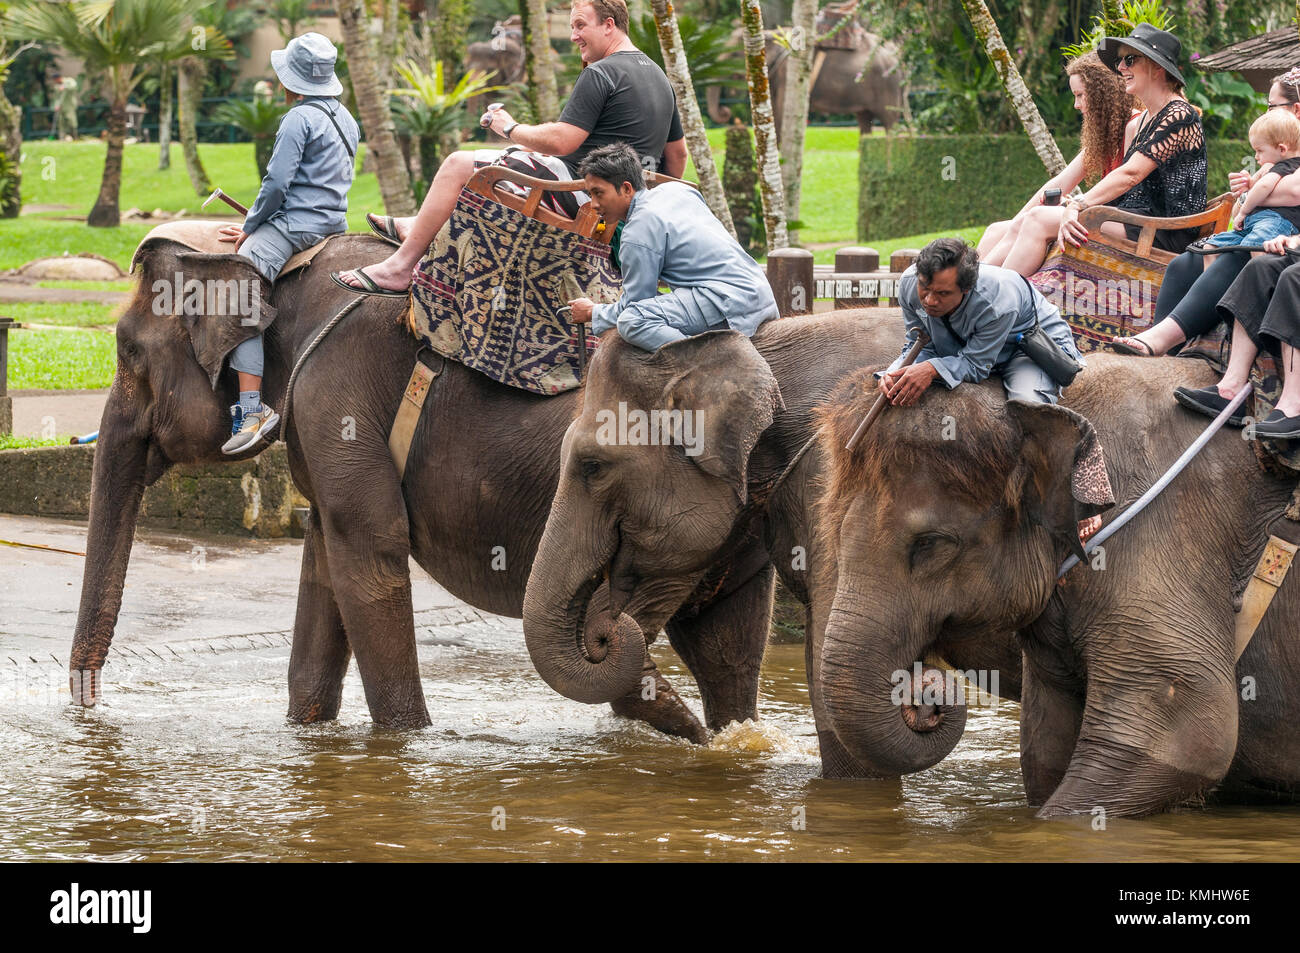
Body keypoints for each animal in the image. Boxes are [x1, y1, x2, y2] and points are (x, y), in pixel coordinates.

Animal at [68, 230, 802, 740]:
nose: (86, 708)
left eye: (126, 352)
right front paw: (308, 732)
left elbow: (371, 551)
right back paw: (714, 731)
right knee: (726, 645)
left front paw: (408, 742)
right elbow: (325, 557)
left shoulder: (335, 392)